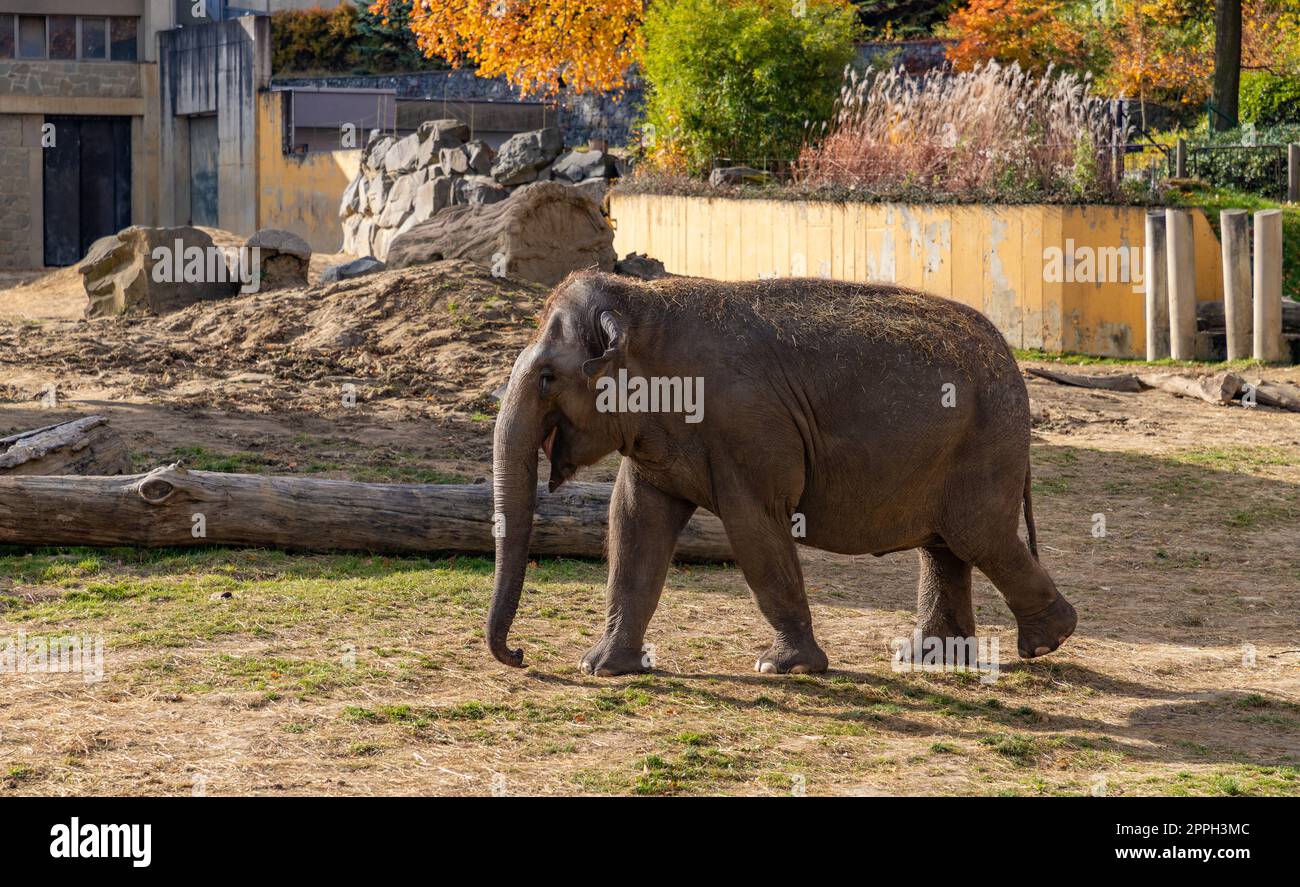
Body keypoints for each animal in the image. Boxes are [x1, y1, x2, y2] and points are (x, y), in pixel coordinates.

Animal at [487, 271, 1077, 676]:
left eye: (546, 378)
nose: (519, 653)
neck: (642, 301)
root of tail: (1010, 357)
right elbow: (633, 523)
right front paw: (602, 667)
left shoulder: (748, 430)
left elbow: (755, 527)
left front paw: (782, 667)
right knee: (945, 546)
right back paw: (930, 659)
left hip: (987, 440)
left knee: (979, 536)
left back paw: (1046, 640)